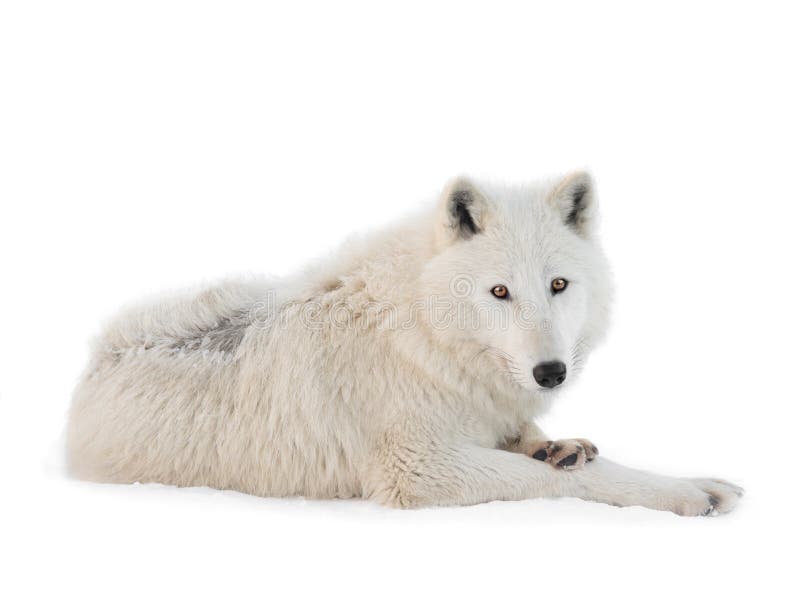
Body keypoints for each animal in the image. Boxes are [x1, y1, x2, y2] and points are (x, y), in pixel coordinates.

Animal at [67, 172, 742, 515]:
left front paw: (560, 446)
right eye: (500, 292)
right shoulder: (421, 470)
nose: (550, 372)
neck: (424, 330)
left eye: (558, 285)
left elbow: (551, 453)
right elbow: (572, 483)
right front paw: (685, 494)